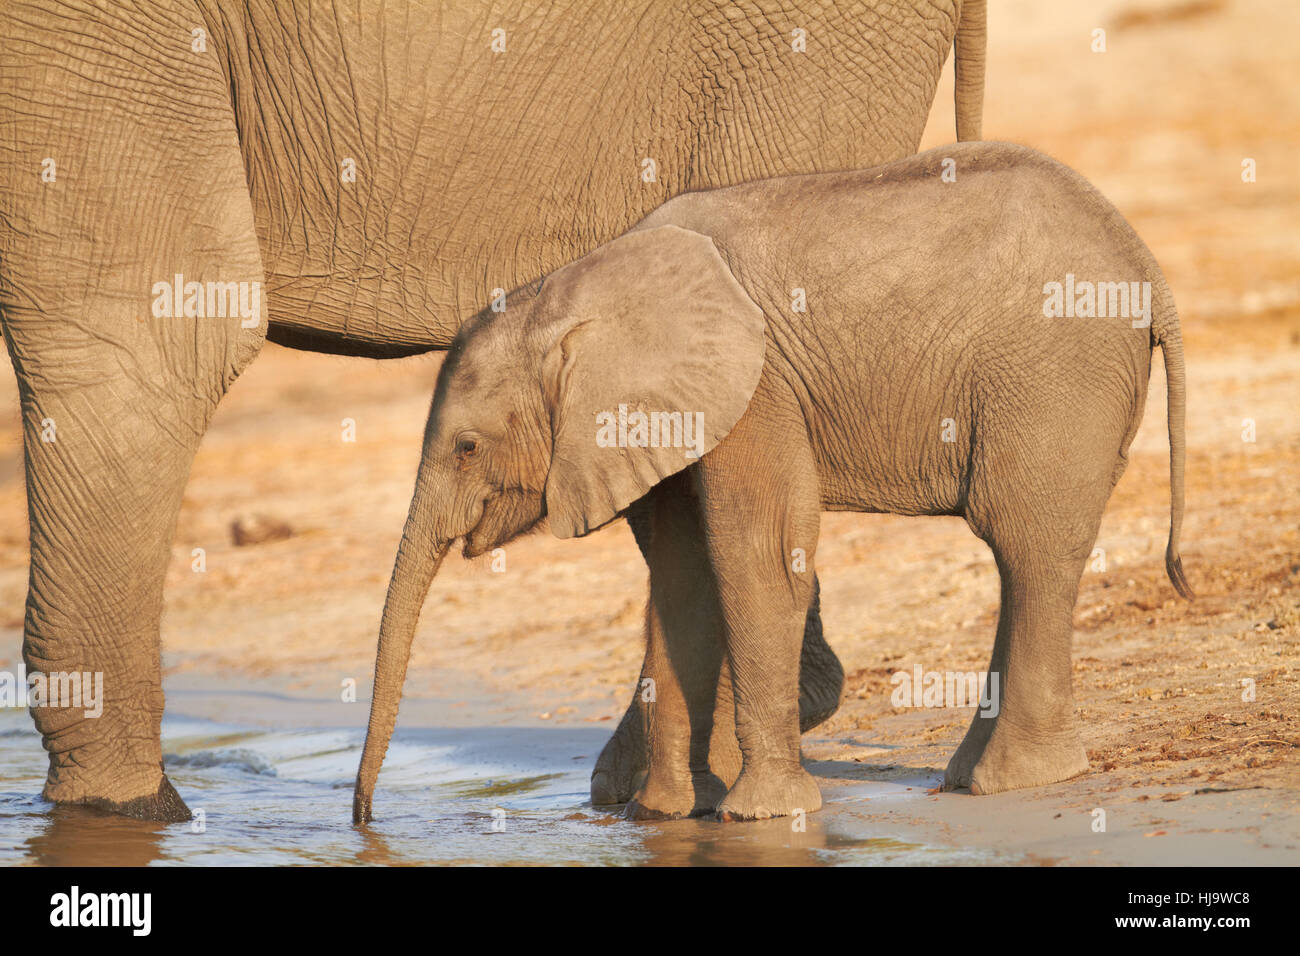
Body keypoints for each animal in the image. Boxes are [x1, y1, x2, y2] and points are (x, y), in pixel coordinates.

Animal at [353, 141, 1193, 823]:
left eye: (466, 446)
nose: (362, 818)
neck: (575, 289)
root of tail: (1148, 263)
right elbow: (683, 578)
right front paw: (667, 814)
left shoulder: (757, 391)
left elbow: (757, 556)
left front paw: (761, 815)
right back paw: (970, 778)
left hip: (1054, 376)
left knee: (1025, 546)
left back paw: (1013, 781)